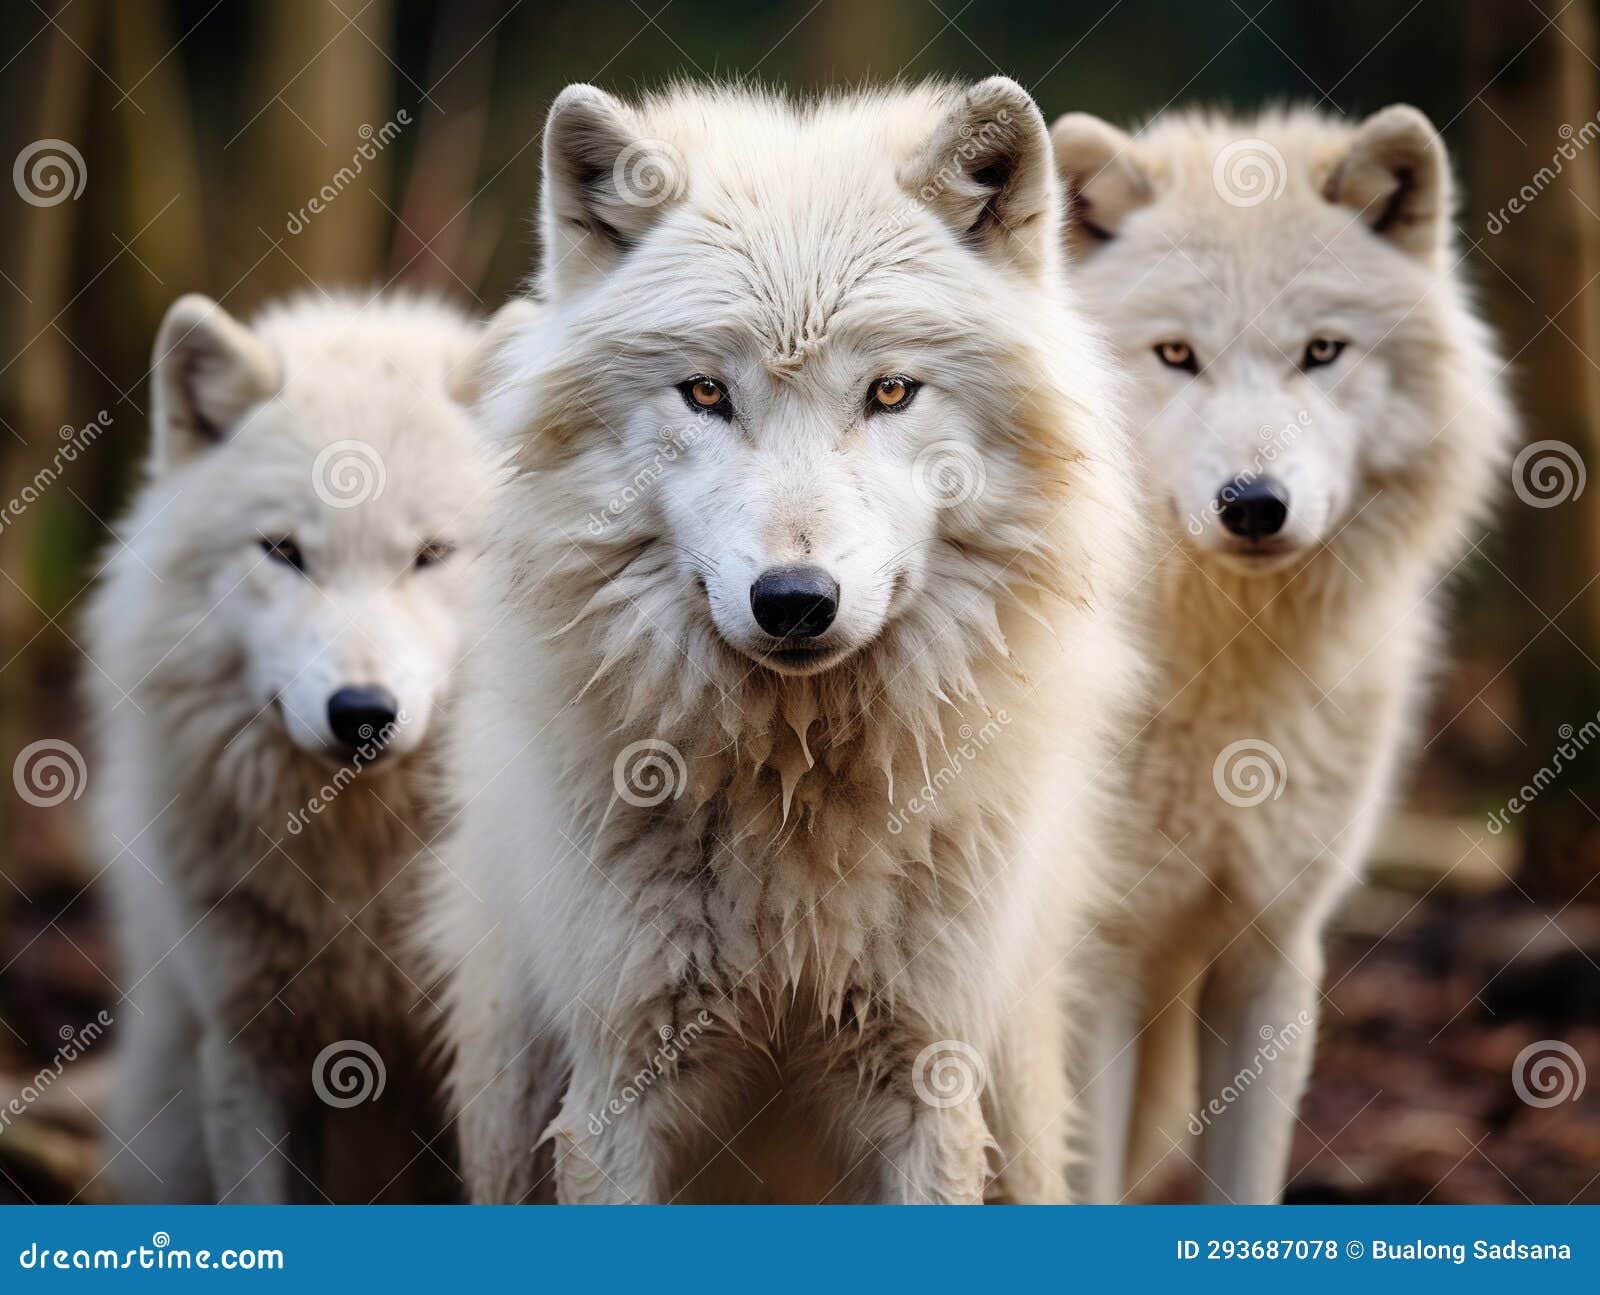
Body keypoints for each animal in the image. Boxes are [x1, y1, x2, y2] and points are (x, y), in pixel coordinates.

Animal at [424, 78, 1146, 1204]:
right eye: (706, 393)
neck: (794, 794)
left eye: (889, 391)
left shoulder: (930, 1081)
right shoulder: (613, 1089)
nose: (795, 599)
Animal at [1050, 105, 1515, 1202]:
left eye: (1322, 352)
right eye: (1176, 354)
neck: (1227, 680)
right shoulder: (1097, 961)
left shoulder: (1270, 951)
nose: (1253, 503)